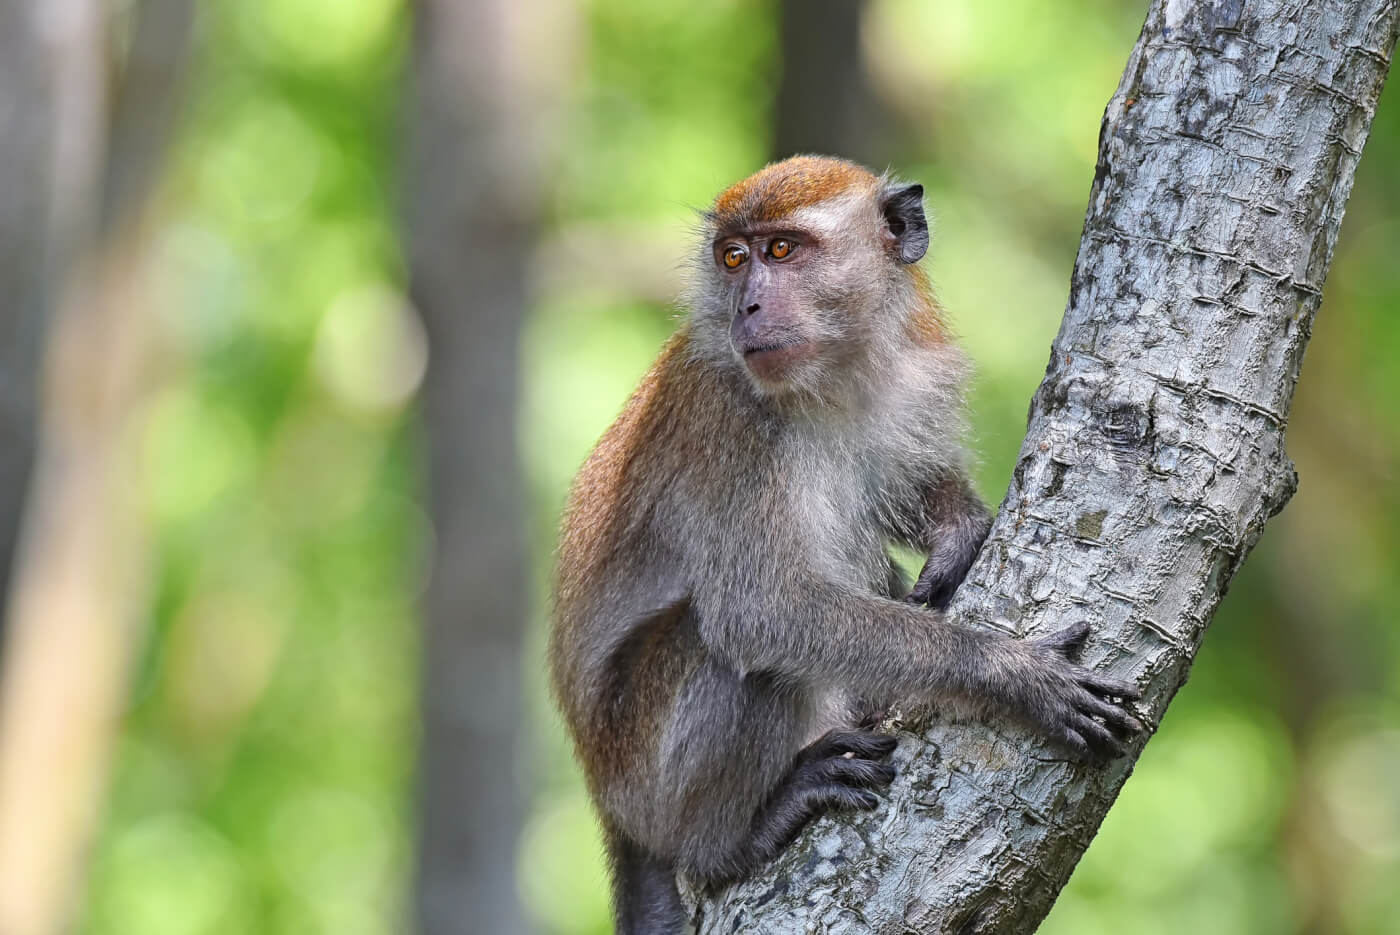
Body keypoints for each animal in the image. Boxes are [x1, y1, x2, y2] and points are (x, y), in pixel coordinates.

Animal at [548, 155, 1143, 934]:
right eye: (733, 258)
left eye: (780, 251)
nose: (746, 308)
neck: (829, 383)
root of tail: (604, 797)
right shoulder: (729, 428)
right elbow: (763, 611)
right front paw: (1012, 672)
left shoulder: (913, 375)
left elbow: (908, 488)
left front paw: (958, 531)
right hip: (643, 771)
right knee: (728, 652)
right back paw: (730, 843)